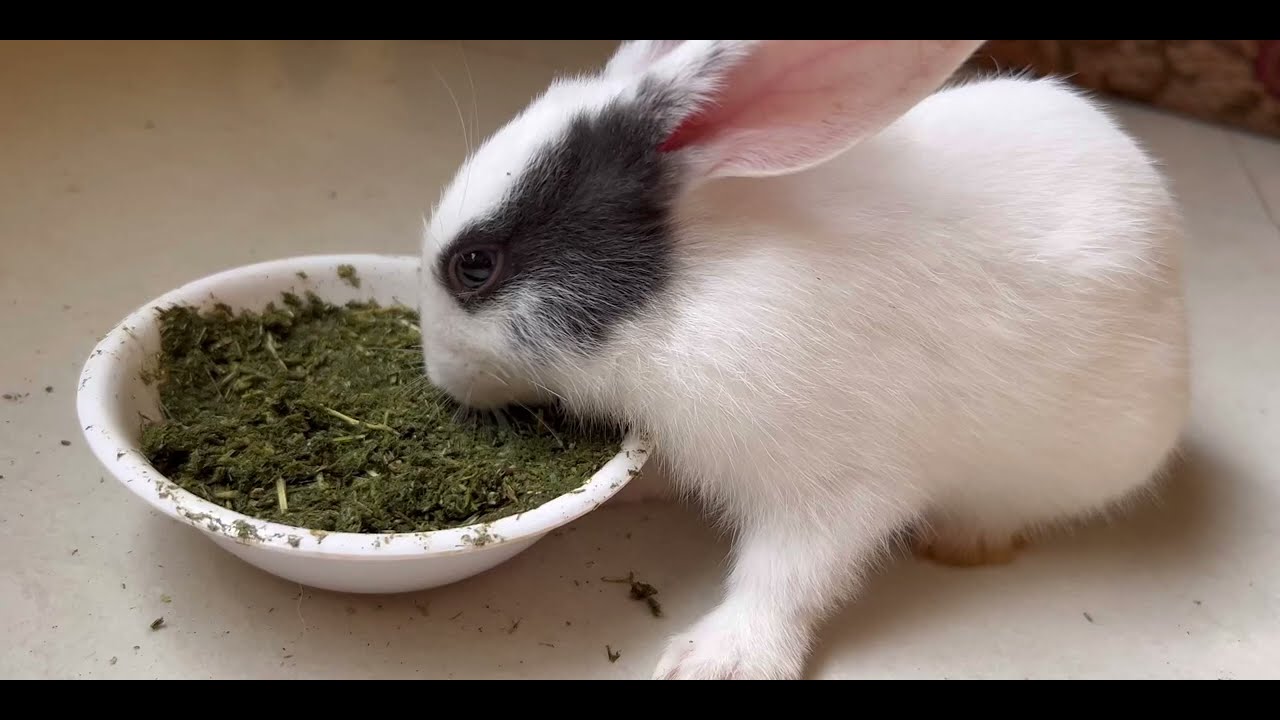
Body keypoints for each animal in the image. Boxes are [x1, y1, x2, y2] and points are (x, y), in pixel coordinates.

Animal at [417, 40, 1191, 680]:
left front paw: (716, 662)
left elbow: (789, 576)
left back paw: (959, 543)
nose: (437, 376)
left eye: (475, 265)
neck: (686, 289)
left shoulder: (842, 483)